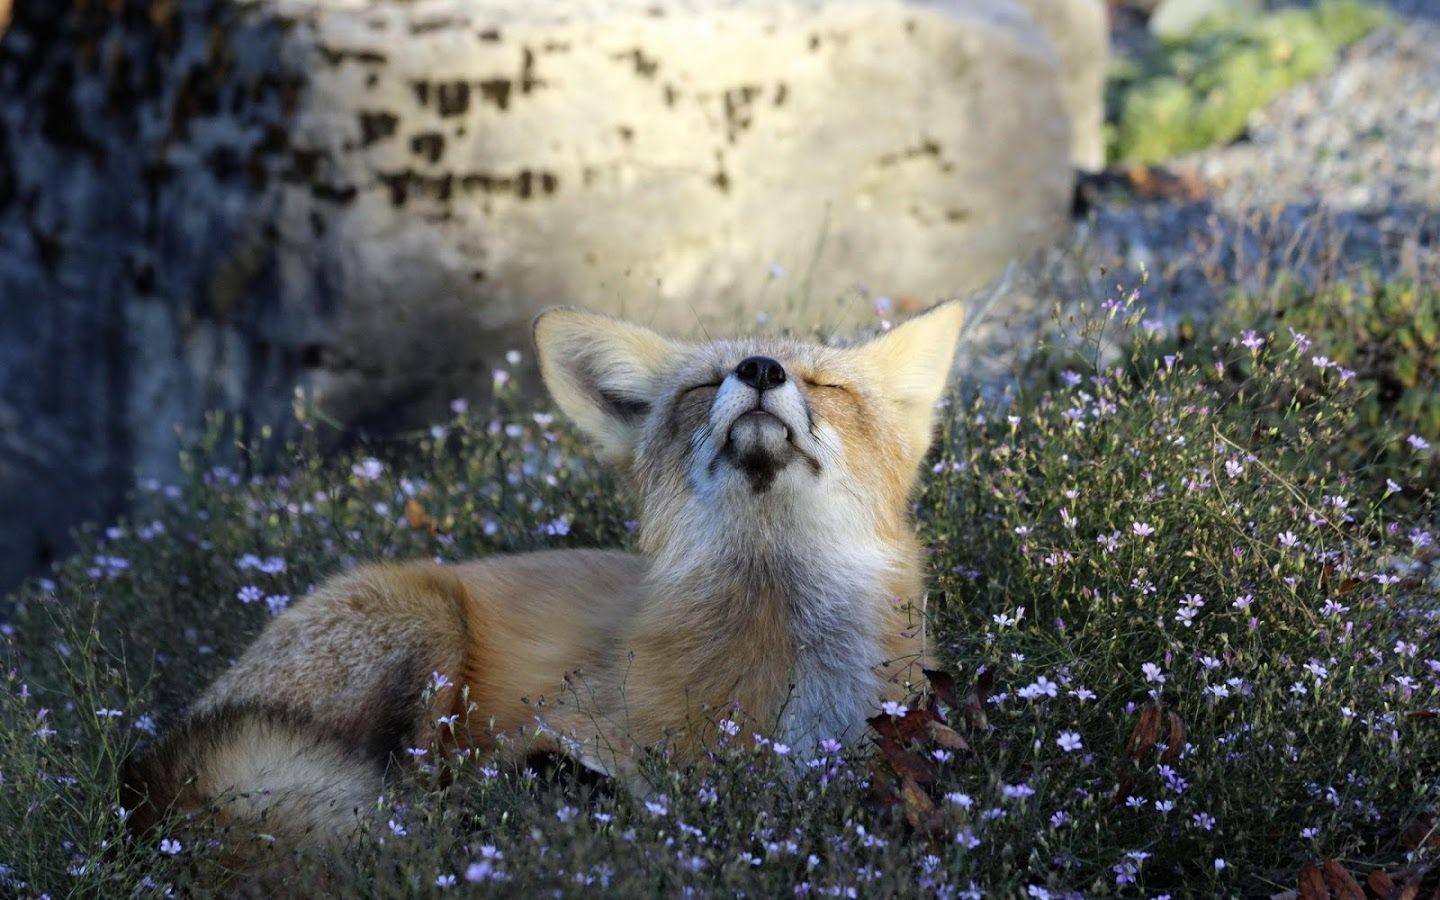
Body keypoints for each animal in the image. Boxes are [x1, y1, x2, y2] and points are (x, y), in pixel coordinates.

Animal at [122, 300, 966, 852]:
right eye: (707, 384)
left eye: (827, 387)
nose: (759, 370)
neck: (782, 655)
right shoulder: (572, 722)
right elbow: (580, 765)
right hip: (427, 626)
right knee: (411, 798)